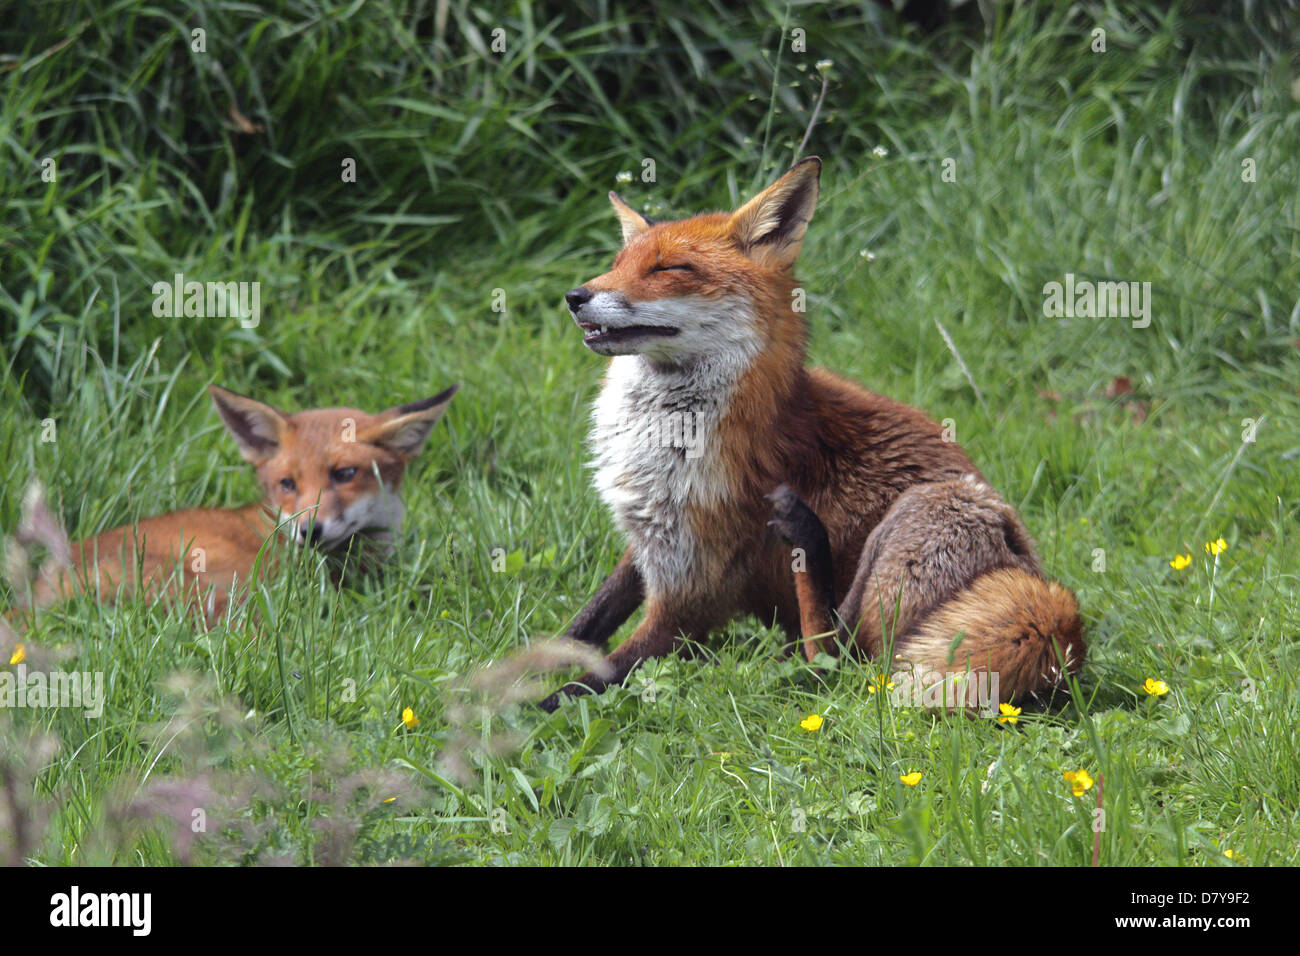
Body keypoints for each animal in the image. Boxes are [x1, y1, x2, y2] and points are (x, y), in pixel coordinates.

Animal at [541, 155, 1083, 712]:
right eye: (618, 262)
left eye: (668, 269)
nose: (575, 297)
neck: (659, 441)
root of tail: (1049, 602)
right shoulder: (649, 537)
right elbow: (585, 623)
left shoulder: (693, 595)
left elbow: (585, 682)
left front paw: (526, 712)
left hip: (928, 505)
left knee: (836, 662)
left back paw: (805, 535)